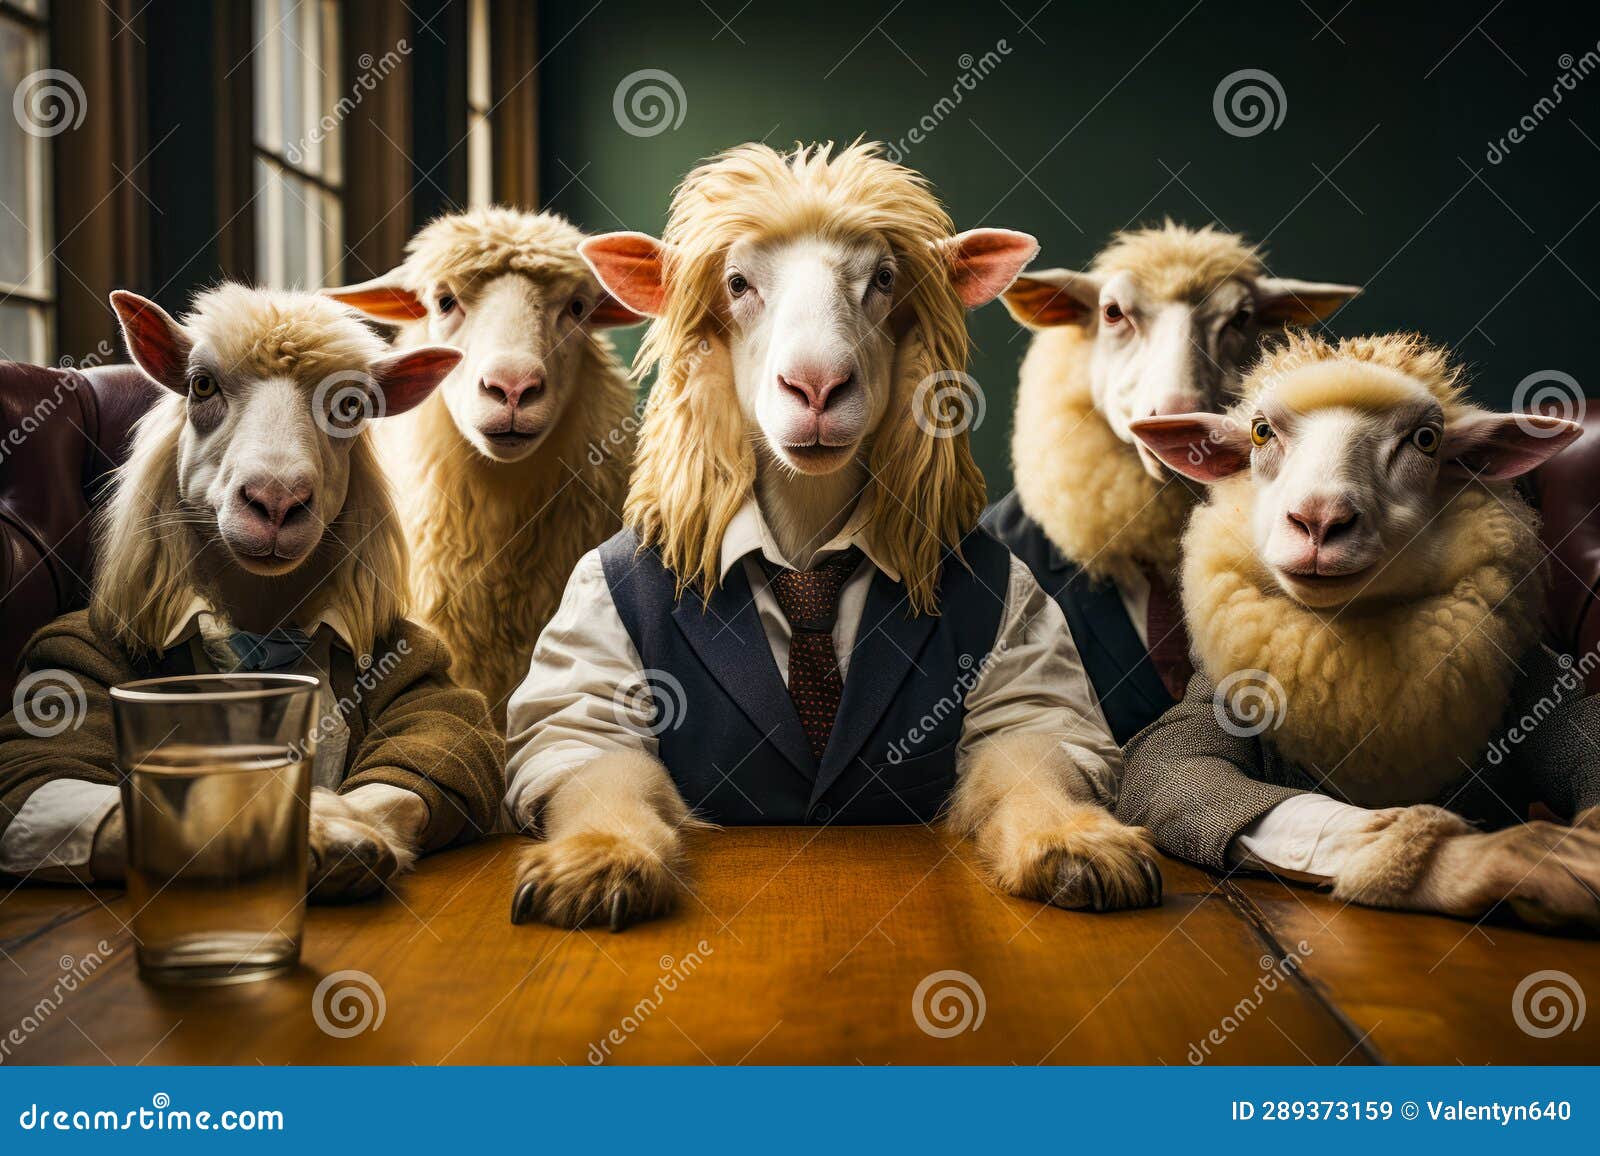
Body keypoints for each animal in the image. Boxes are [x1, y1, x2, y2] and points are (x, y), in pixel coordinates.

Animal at [0, 286, 505, 900]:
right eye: (201, 385)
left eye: (351, 407)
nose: (276, 500)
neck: (261, 623)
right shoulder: (67, 667)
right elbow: (47, 771)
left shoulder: (417, 665)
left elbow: (443, 739)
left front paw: (339, 832)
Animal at [502, 142, 1158, 930]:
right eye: (737, 283)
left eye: (884, 279)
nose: (816, 388)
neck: (807, 542)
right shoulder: (592, 628)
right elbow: (595, 759)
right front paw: (596, 860)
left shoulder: (1023, 631)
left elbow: (1034, 752)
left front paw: (1075, 843)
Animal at [1122, 331, 1600, 931]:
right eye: (1261, 432)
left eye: (1426, 440)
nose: (1319, 521)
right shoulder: (1200, 712)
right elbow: (1171, 764)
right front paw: (1472, 860)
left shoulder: (1543, 685)